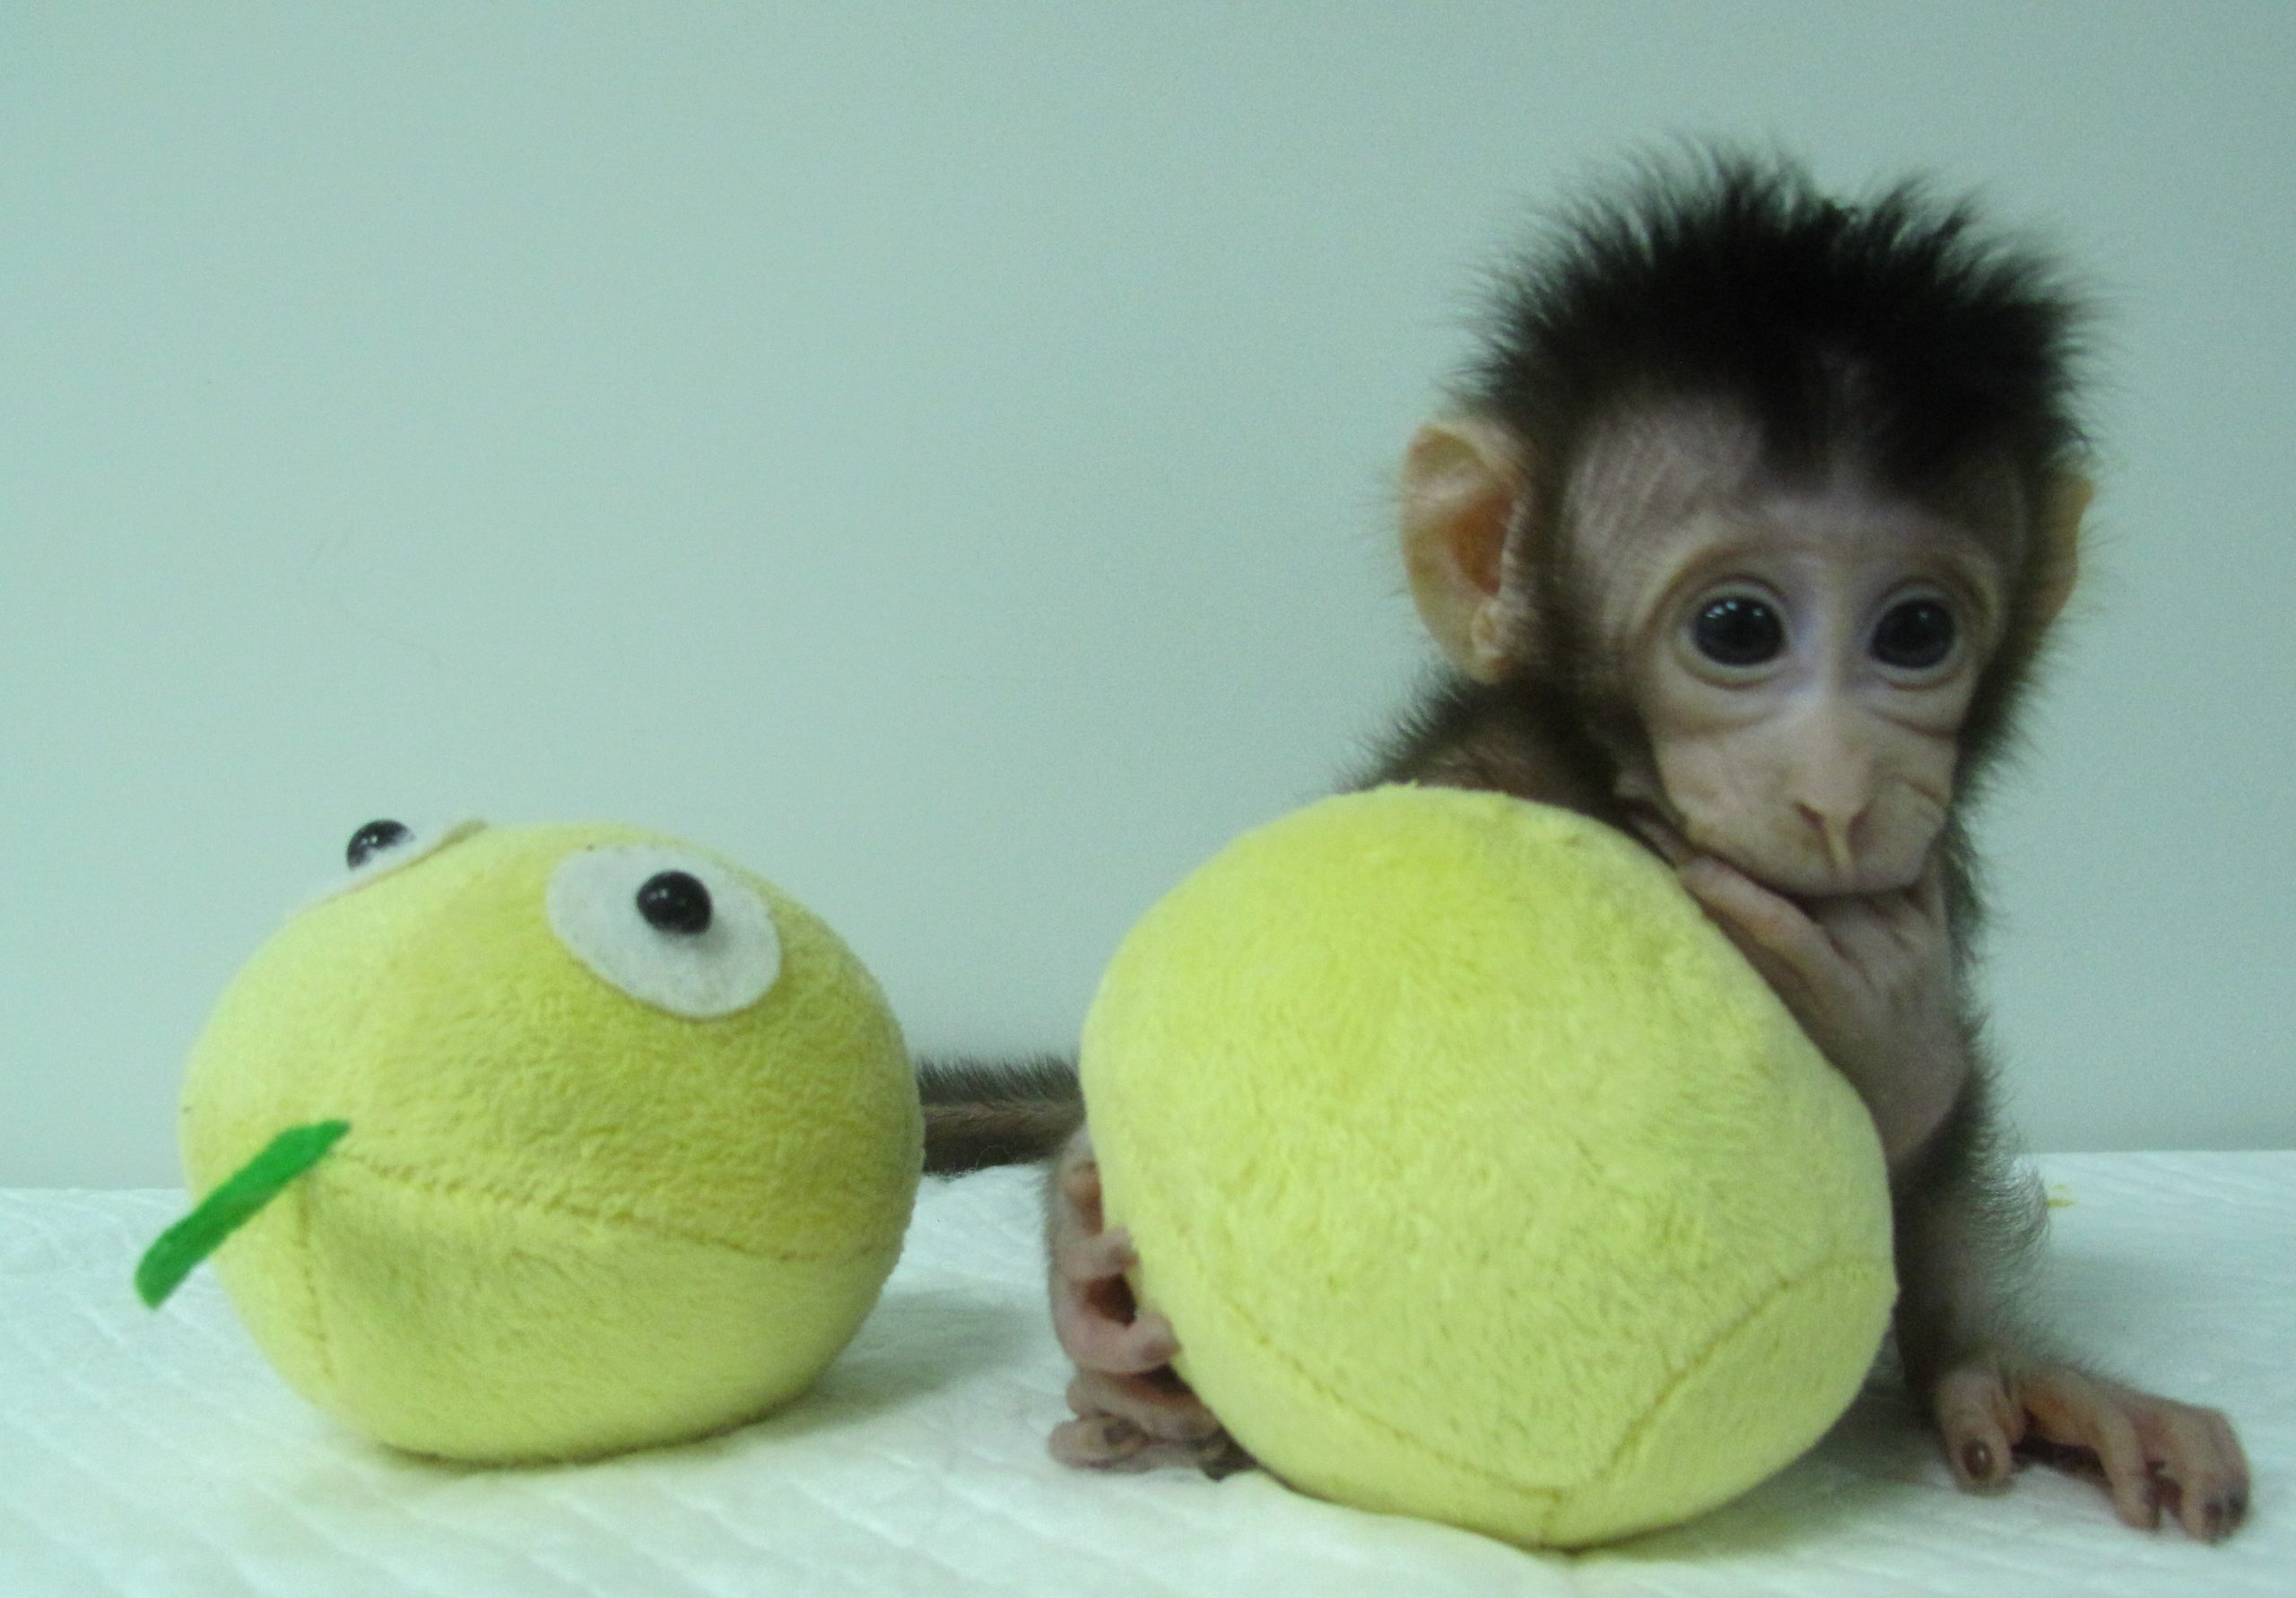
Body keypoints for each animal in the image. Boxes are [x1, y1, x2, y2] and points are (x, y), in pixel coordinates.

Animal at [918, 148, 2252, 1540]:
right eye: (1736, 627)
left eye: (1917, 633)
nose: (1840, 788)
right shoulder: (1468, 774)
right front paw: (1089, 1269)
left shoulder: (1942, 864)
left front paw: (2008, 1352)